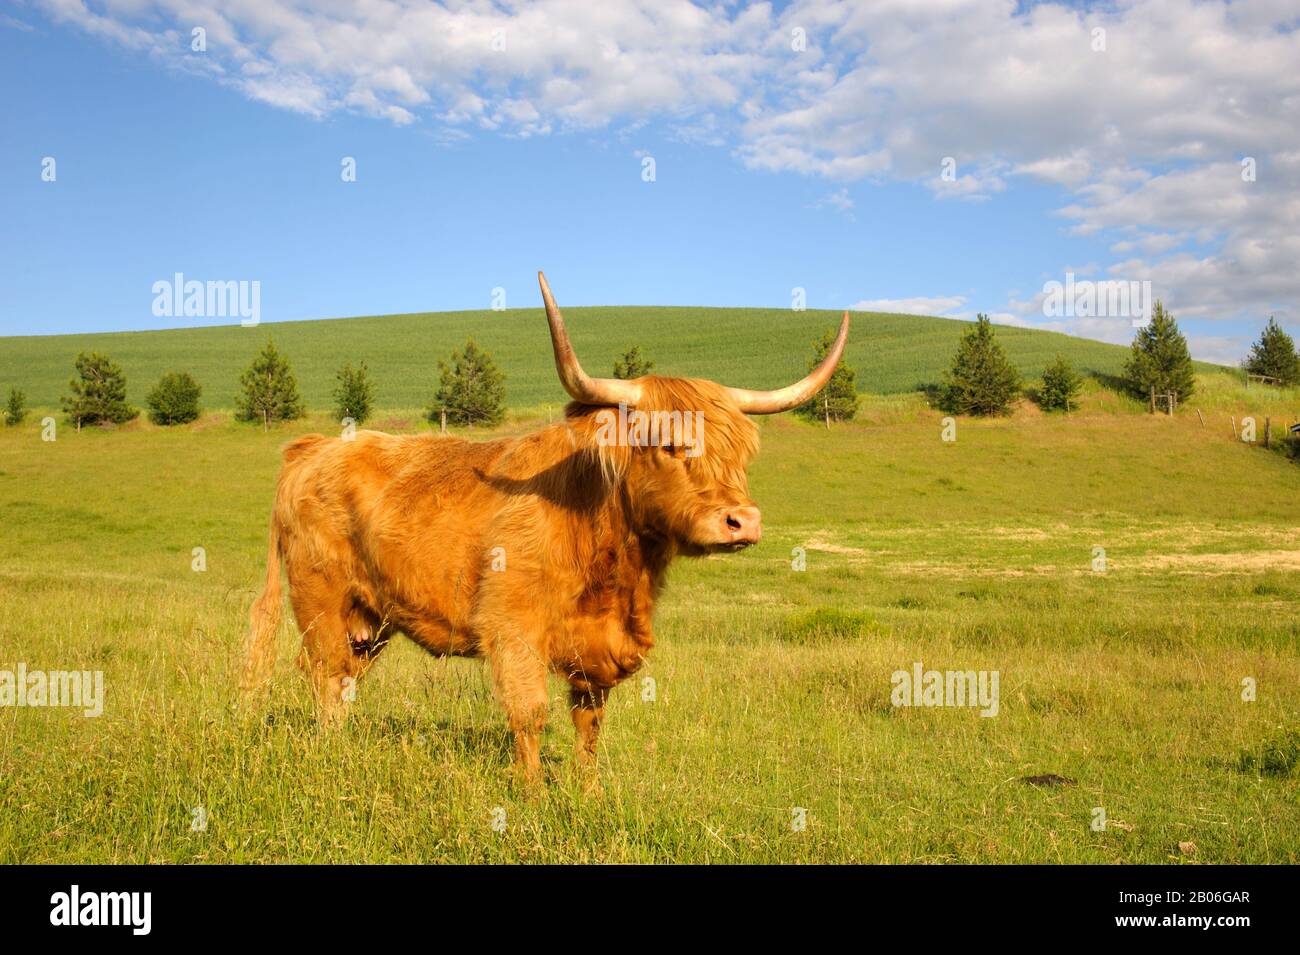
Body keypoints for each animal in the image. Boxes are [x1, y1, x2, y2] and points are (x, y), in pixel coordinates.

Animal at [241, 272, 849, 784]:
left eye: (743, 454)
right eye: (668, 445)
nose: (741, 520)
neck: (615, 564)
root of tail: (313, 447)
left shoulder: (600, 647)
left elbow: (590, 725)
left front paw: (588, 792)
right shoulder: (513, 631)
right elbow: (530, 714)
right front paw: (531, 793)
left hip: (371, 617)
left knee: (346, 678)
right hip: (320, 599)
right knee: (325, 673)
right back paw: (329, 756)